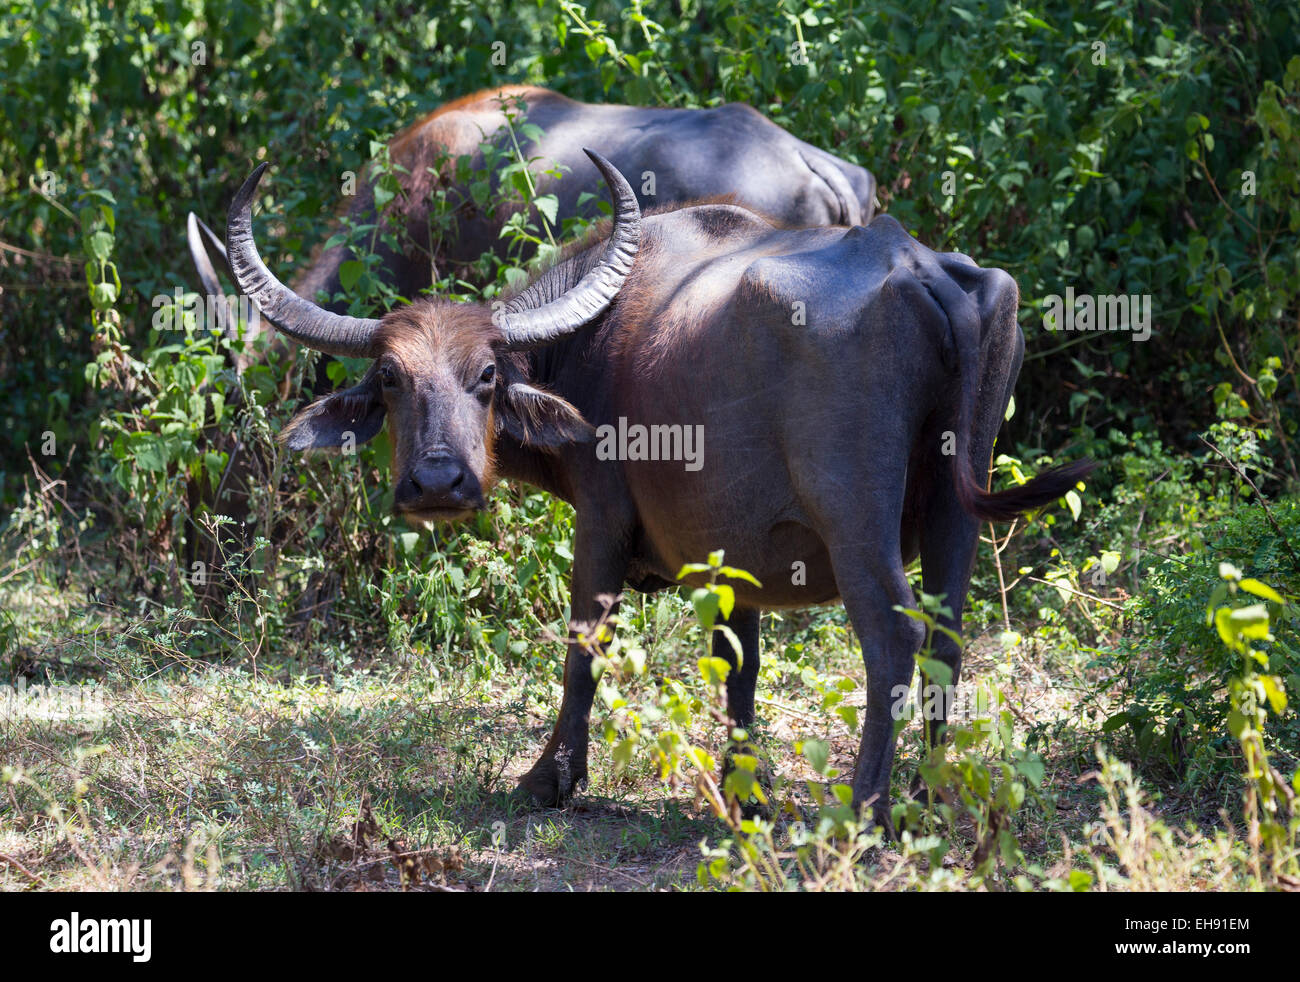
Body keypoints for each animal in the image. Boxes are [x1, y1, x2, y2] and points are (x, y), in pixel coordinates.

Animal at [223, 151, 1091, 832]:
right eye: (390, 379)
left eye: (487, 376)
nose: (438, 481)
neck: (599, 337)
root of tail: (917, 268)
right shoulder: (736, 556)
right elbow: (739, 667)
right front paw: (744, 795)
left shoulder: (603, 522)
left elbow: (582, 646)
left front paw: (548, 779)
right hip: (956, 505)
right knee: (948, 638)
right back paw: (931, 799)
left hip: (855, 517)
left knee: (894, 638)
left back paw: (868, 811)